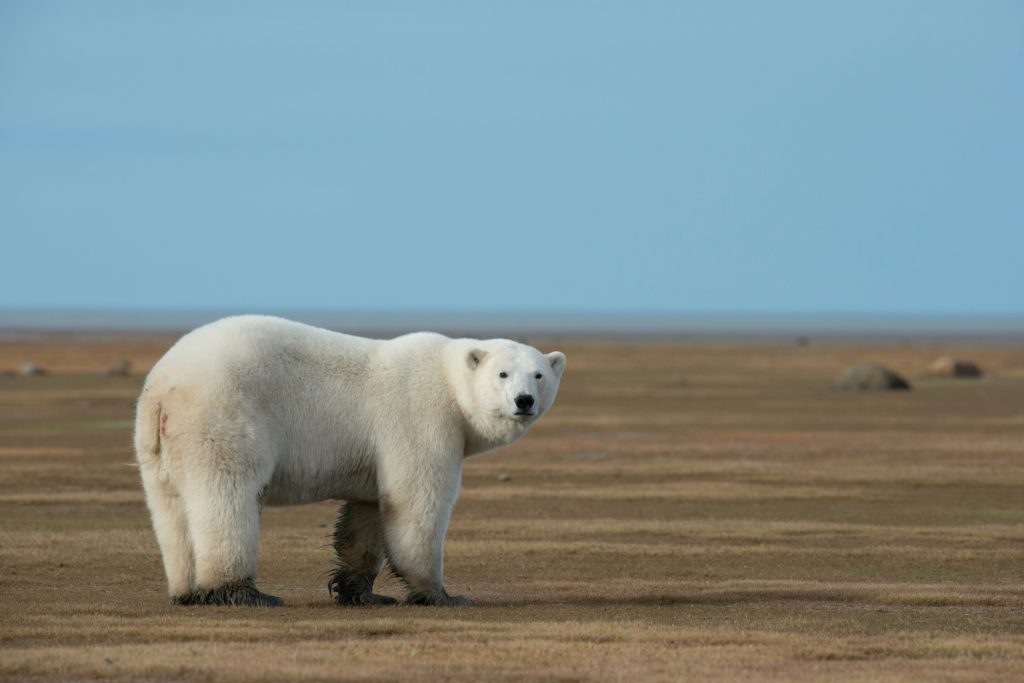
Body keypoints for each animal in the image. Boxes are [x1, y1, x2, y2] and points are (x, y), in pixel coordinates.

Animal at [133, 315, 565, 607]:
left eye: (539, 375)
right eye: (503, 373)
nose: (523, 401)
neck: (448, 381)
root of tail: (164, 385)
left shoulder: (373, 456)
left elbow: (367, 513)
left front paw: (361, 592)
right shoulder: (421, 417)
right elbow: (416, 502)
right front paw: (441, 594)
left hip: (157, 445)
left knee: (170, 508)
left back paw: (186, 591)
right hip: (224, 414)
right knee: (228, 496)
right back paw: (243, 592)